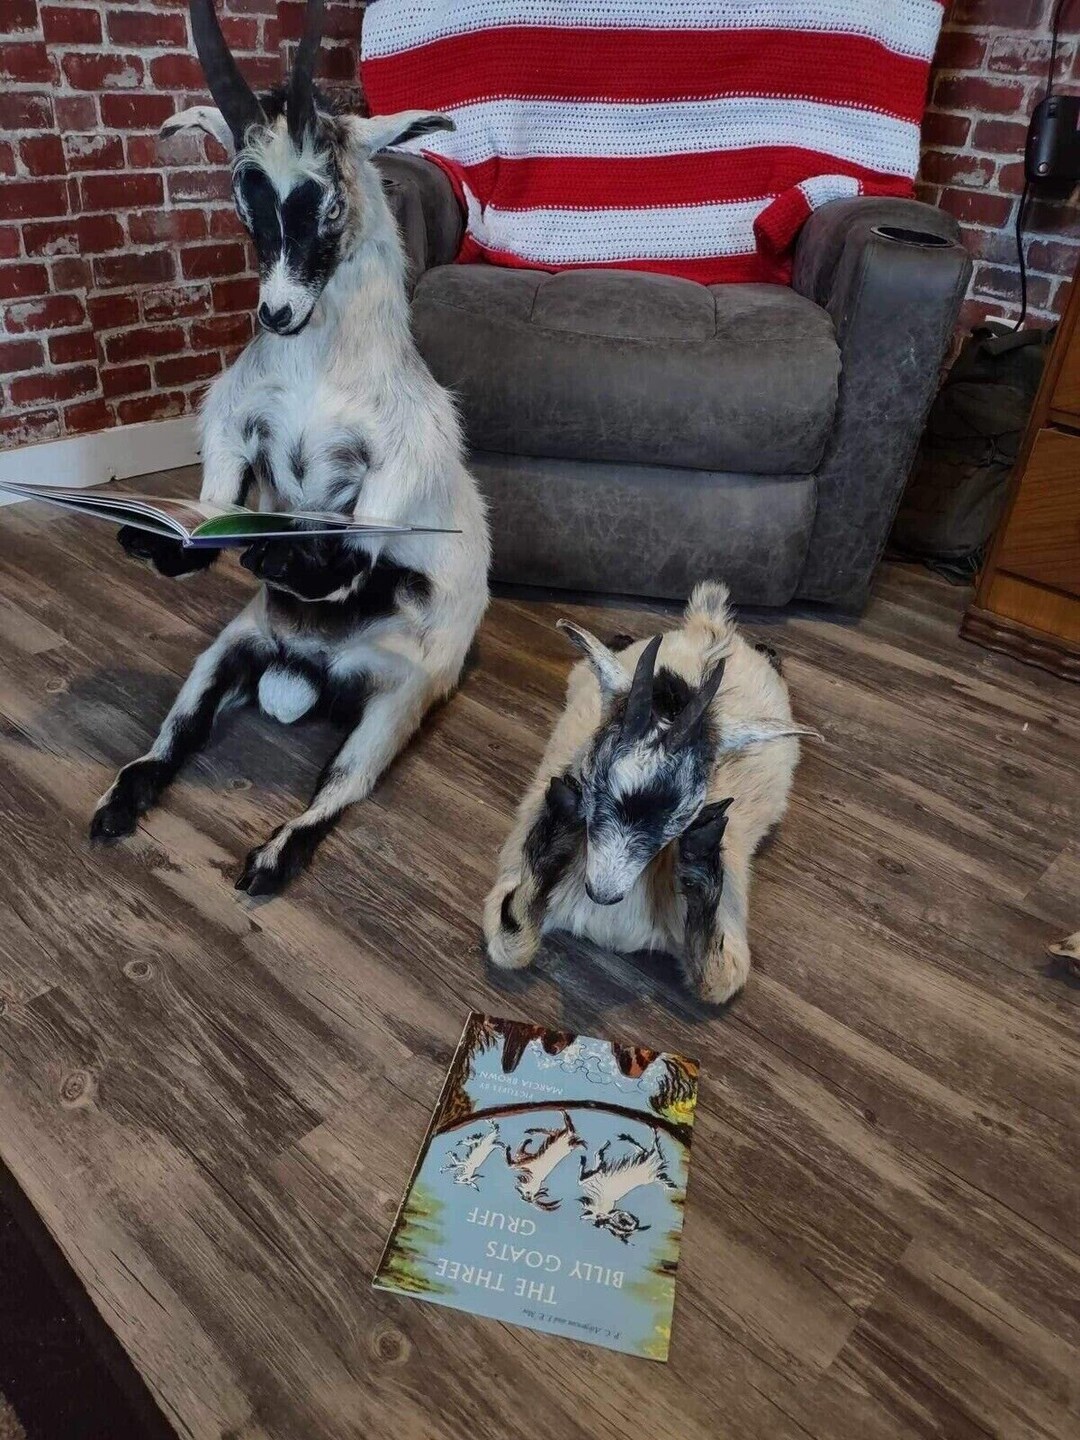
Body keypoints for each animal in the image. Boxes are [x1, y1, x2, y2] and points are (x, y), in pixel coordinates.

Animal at [91, 0, 489, 894]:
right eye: (247, 200)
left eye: (326, 200)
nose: (276, 313)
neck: (318, 375)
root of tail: (305, 670)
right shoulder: (236, 427)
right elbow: (219, 498)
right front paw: (165, 541)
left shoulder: (393, 470)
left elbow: (356, 554)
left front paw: (290, 558)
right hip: (231, 650)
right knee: (172, 741)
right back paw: (113, 811)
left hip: (396, 701)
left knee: (337, 785)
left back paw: (269, 861)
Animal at [483, 582, 816, 1004]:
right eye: (592, 778)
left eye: (688, 810)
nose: (603, 892)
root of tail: (708, 626)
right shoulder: (506, 894)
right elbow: (513, 944)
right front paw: (562, 815)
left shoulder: (730, 944)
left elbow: (715, 981)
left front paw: (702, 847)